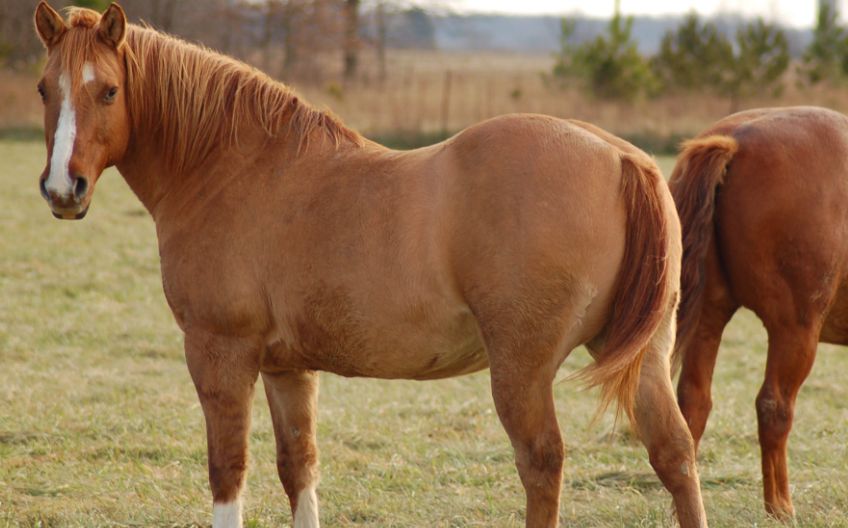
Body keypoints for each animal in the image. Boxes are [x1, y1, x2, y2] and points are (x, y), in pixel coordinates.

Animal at [33, 3, 706, 527]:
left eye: (108, 90)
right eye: (45, 88)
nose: (63, 188)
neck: (235, 168)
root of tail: (620, 156)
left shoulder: (219, 353)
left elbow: (229, 472)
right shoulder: (286, 367)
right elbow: (298, 467)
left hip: (522, 370)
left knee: (542, 463)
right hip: (642, 355)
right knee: (674, 453)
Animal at [671, 106, 848, 520]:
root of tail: (734, 141)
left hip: (707, 319)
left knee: (693, 402)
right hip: (795, 332)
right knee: (773, 408)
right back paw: (780, 506)